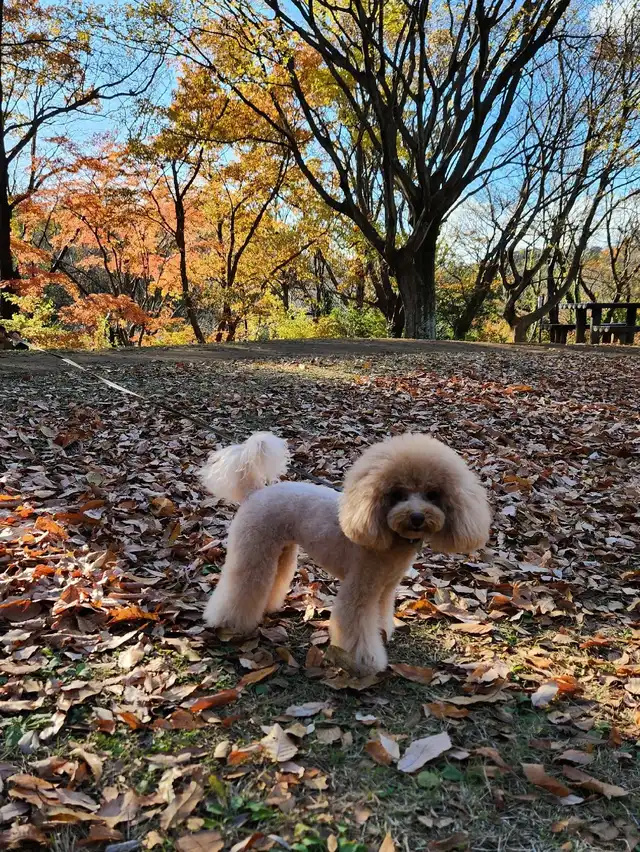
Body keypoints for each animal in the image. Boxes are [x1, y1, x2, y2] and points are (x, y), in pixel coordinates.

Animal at [199, 432, 491, 675]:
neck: (388, 534)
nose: (417, 517)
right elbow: (356, 625)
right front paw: (365, 662)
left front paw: (382, 632)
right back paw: (228, 622)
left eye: (433, 494)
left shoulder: (385, 588)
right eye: (397, 494)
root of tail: (255, 492)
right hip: (254, 546)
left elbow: (380, 613)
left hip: (279, 548)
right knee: (241, 583)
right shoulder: (360, 588)